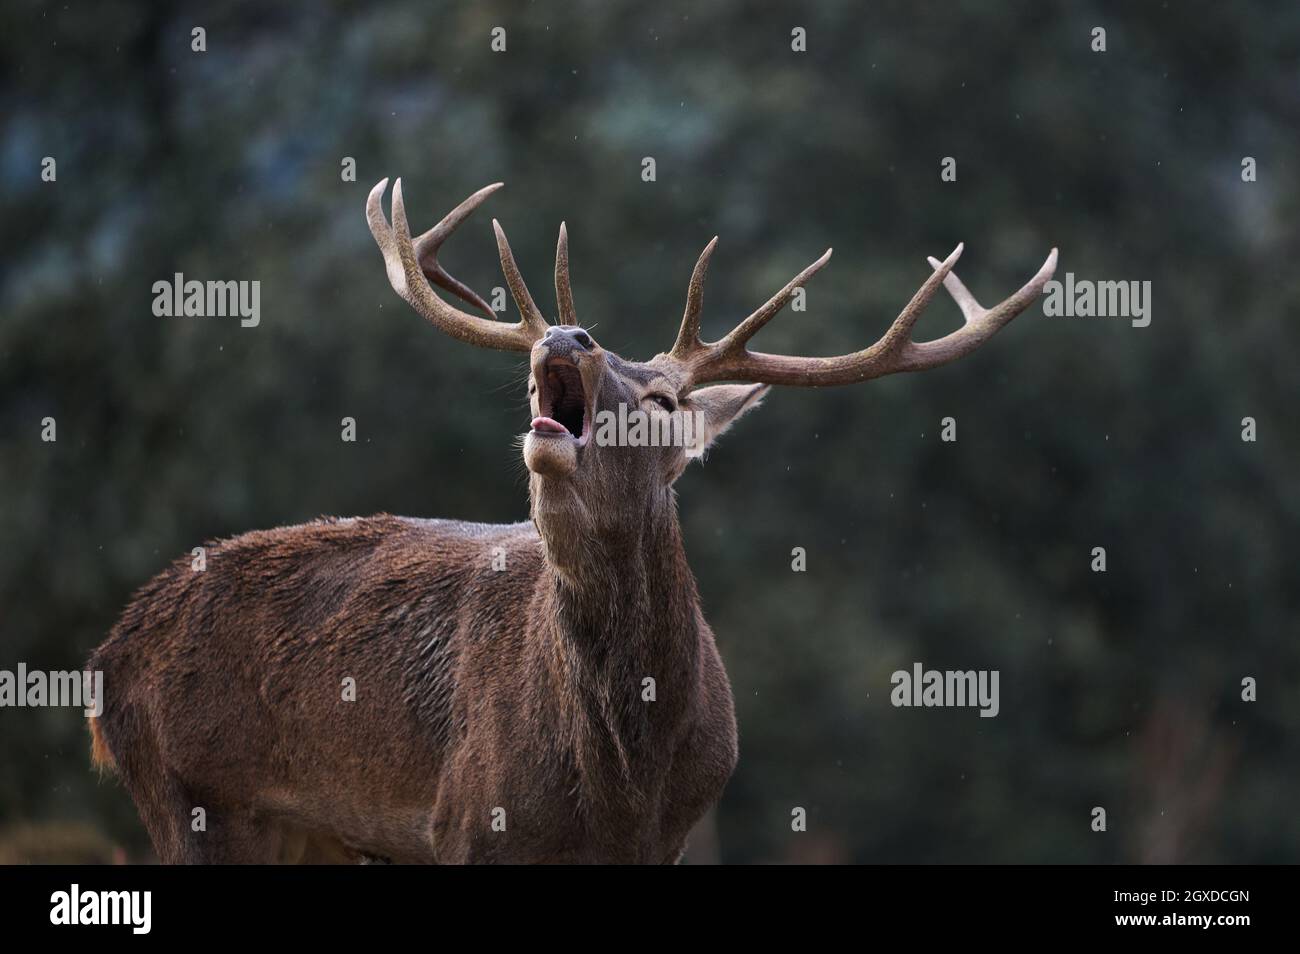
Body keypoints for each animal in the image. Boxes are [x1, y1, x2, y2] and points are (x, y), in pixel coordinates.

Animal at [87, 177, 1056, 864]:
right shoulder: (467, 827)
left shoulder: (668, 839)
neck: (624, 779)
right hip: (194, 797)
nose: (568, 336)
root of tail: (109, 655)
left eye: (663, 400)